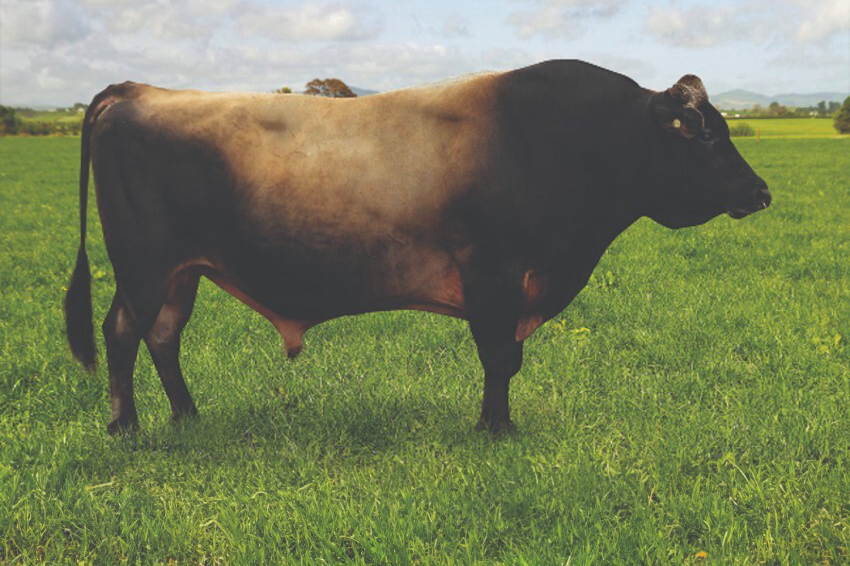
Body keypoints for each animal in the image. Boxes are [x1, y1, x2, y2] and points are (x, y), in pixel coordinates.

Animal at [64, 60, 771, 434]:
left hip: (182, 272)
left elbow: (504, 357)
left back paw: (187, 417)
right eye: (706, 135)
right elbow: (500, 356)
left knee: (162, 335)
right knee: (122, 330)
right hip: (145, 265)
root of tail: (135, 91)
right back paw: (126, 427)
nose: (761, 190)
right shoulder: (492, 270)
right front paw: (497, 429)